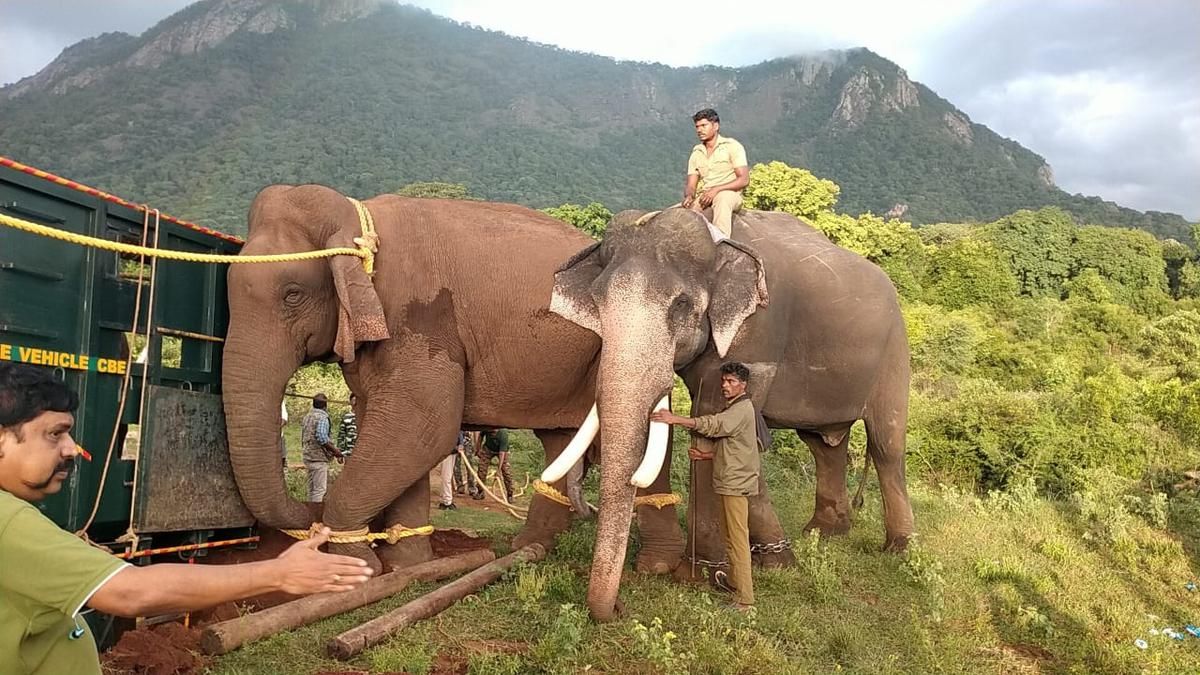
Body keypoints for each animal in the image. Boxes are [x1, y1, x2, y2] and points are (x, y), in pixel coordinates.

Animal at [221, 185, 686, 577]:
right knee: (559, 440)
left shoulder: (421, 321)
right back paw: (528, 548)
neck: (359, 217)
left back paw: (656, 566)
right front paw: (404, 565)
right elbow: (394, 427)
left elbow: (423, 427)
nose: (309, 519)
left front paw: (358, 570)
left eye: (292, 294)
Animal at [548, 207, 914, 620]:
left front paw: (751, 568)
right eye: (596, 303)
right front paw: (706, 572)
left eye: (680, 304)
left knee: (886, 445)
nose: (618, 611)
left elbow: (722, 427)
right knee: (824, 445)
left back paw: (898, 547)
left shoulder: (758, 333)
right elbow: (705, 427)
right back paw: (823, 533)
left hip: (895, 352)